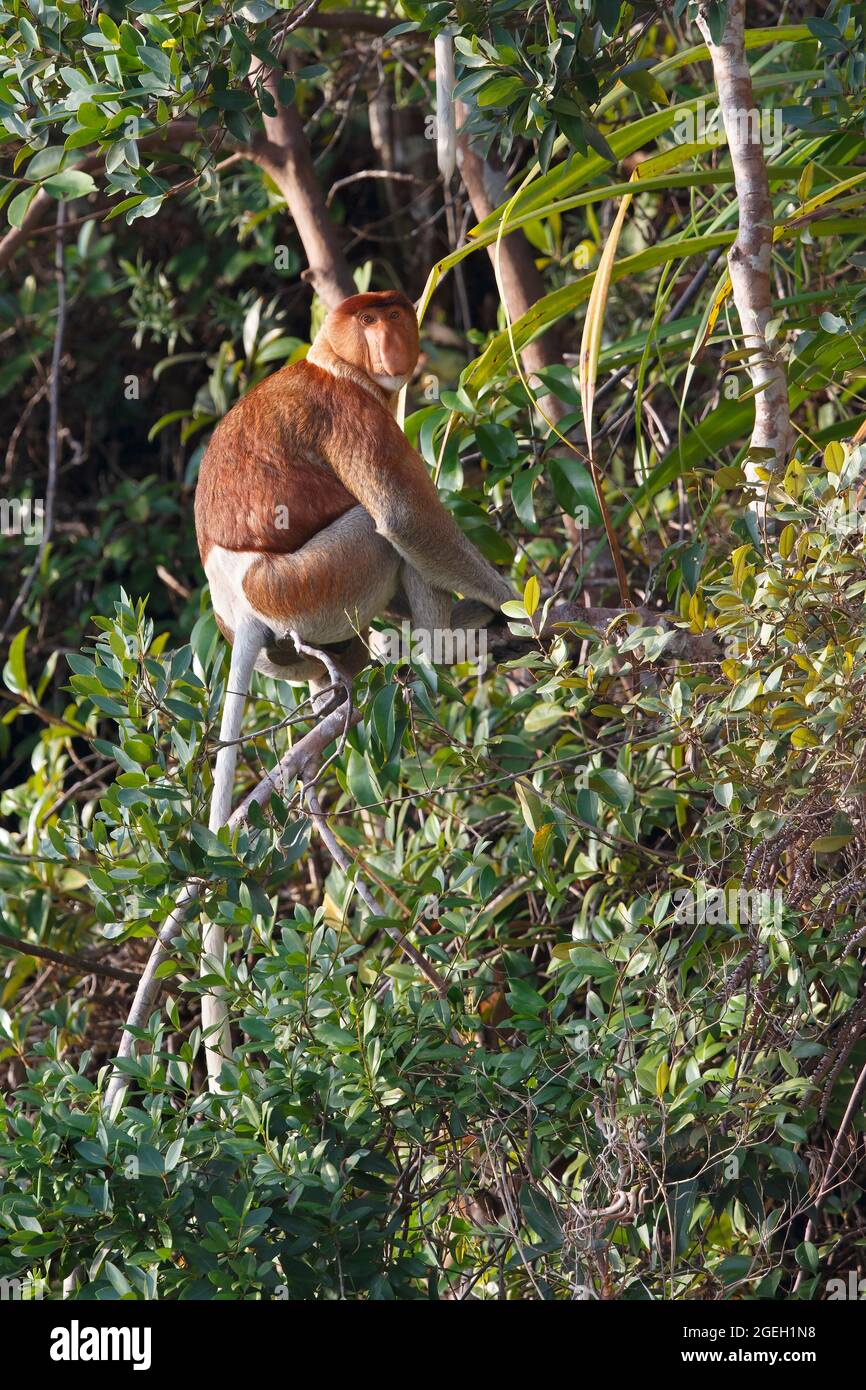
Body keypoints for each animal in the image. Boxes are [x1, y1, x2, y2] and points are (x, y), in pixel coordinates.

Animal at [193, 289, 514, 1080]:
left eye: (394, 312)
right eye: (371, 318)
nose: (394, 338)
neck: (331, 363)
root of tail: (242, 605)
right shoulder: (354, 413)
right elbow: (403, 517)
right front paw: (527, 604)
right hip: (308, 581)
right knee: (375, 532)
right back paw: (445, 638)